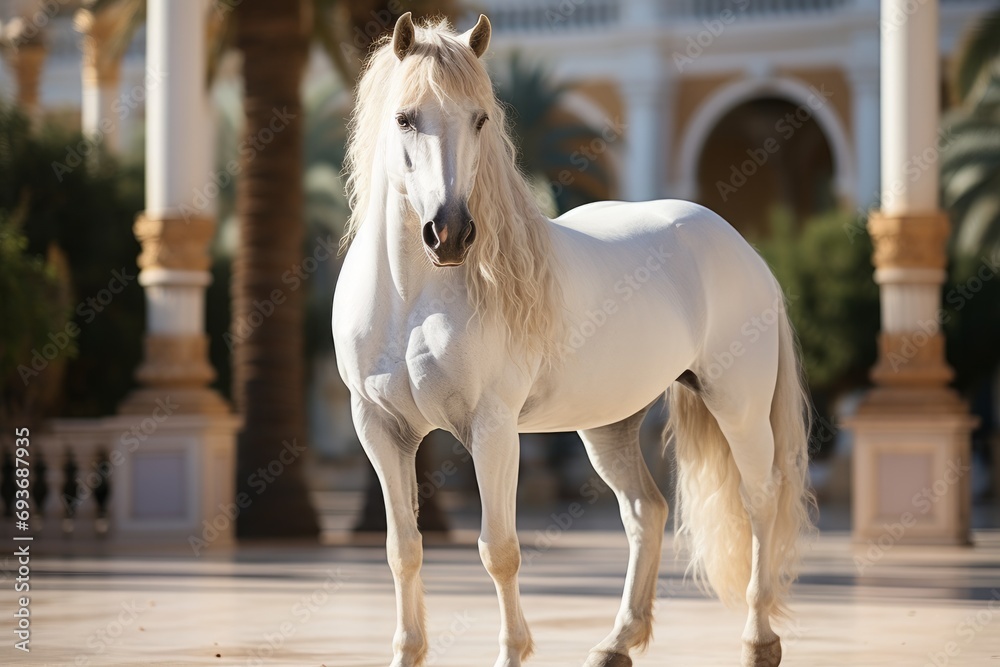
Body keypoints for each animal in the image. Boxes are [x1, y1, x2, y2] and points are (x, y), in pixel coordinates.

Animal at [332, 13, 813, 667]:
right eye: (405, 117)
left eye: (481, 118)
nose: (450, 234)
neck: (410, 301)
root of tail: (740, 246)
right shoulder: (380, 429)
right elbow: (402, 549)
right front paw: (407, 652)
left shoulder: (492, 429)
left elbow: (499, 550)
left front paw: (513, 651)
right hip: (609, 424)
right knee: (646, 512)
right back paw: (617, 642)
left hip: (737, 407)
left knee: (760, 501)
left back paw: (759, 640)